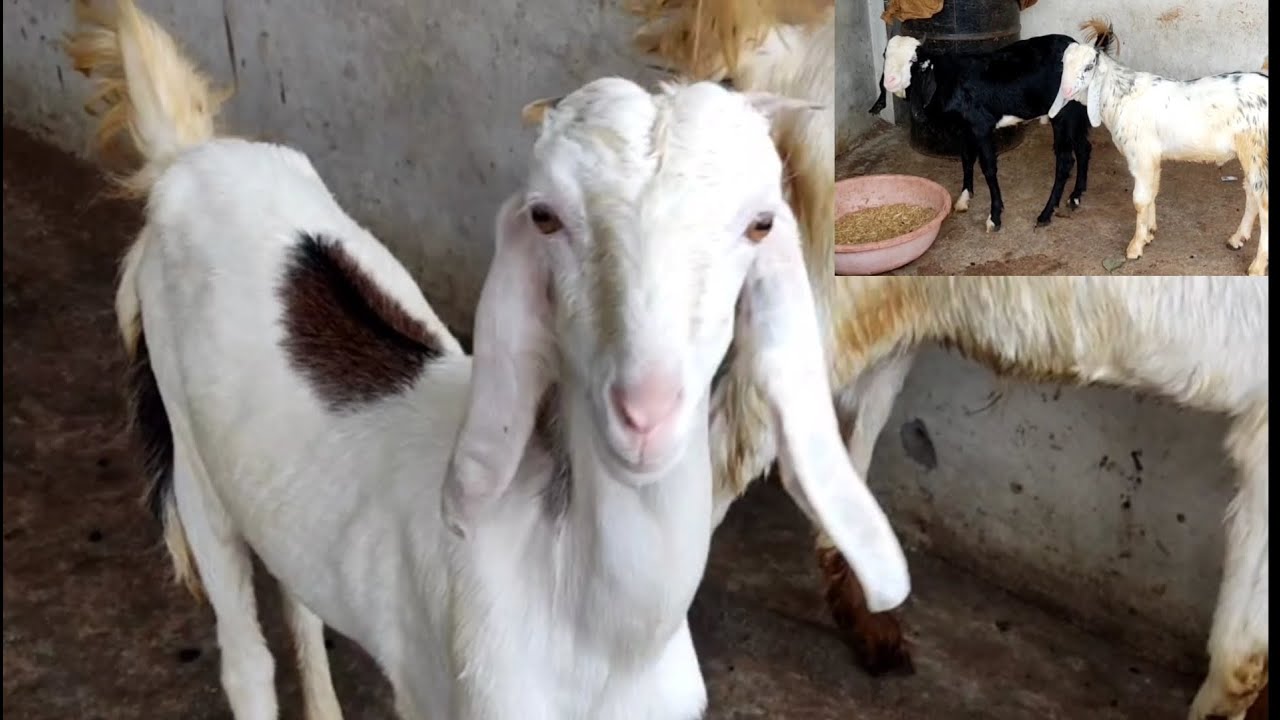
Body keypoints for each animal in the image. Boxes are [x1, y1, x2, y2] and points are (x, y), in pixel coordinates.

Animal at [67, 1, 911, 718]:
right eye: (546, 217)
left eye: (760, 224)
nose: (645, 414)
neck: (593, 630)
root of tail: (187, 158)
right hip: (192, 463)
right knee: (244, 656)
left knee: (298, 597)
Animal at [869, 19, 1118, 232]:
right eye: (885, 56)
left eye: (914, 61)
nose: (890, 81)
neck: (949, 80)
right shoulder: (965, 128)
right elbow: (966, 158)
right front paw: (964, 198)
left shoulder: (981, 126)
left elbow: (988, 168)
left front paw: (994, 216)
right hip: (1077, 113)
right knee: (1084, 148)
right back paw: (1075, 196)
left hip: (1063, 115)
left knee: (1065, 160)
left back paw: (1045, 213)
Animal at [1050, 42, 1270, 276]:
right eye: (1063, 63)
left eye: (1089, 66)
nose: (1066, 90)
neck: (1119, 97)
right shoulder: (1152, 157)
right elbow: (1152, 192)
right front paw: (1149, 232)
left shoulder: (1141, 155)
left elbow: (1140, 200)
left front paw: (1135, 246)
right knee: (1251, 193)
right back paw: (1238, 239)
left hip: (1256, 150)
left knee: (1263, 201)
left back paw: (1257, 266)